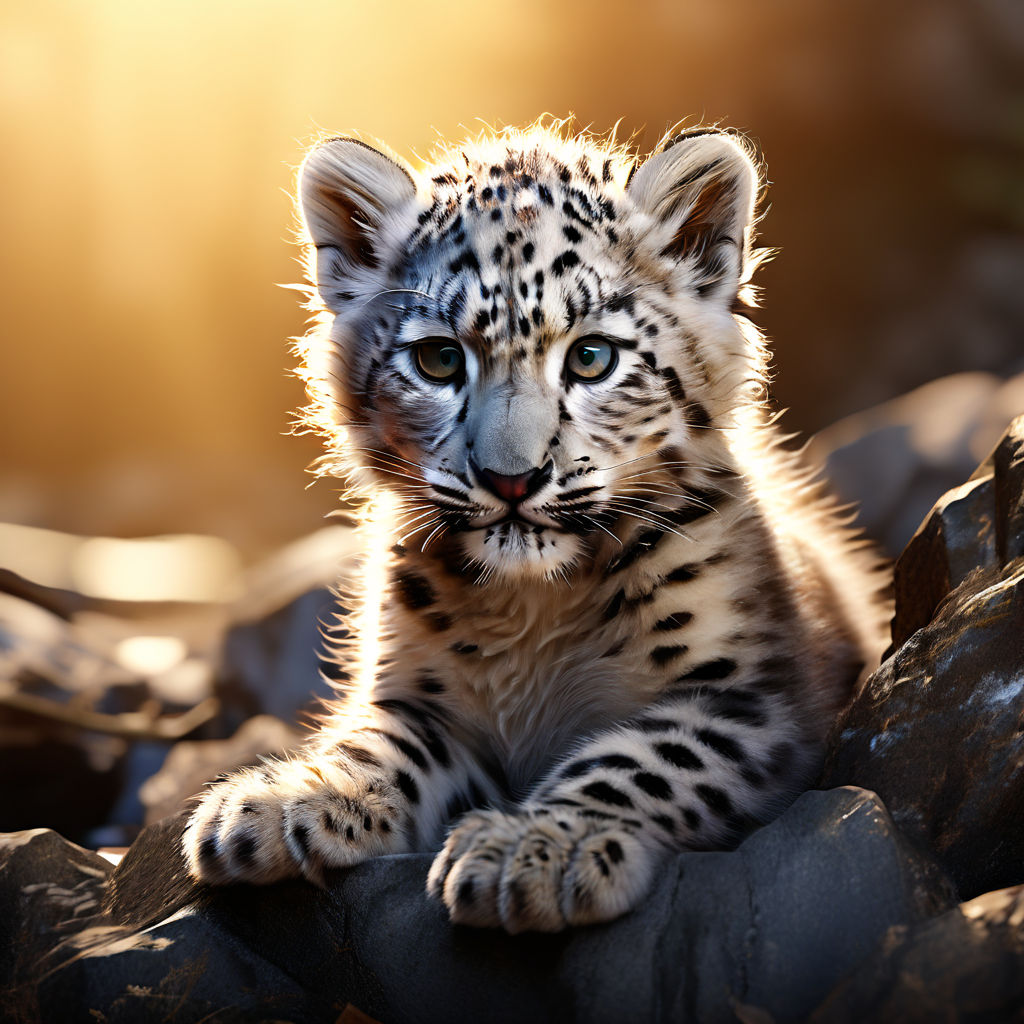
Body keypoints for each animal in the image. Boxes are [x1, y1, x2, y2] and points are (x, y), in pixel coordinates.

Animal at [183, 119, 890, 933]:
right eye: (438, 359)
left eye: (592, 356)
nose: (512, 478)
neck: (530, 610)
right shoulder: (422, 699)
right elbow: (380, 745)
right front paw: (279, 801)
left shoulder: (753, 700)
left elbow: (637, 761)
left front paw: (536, 849)